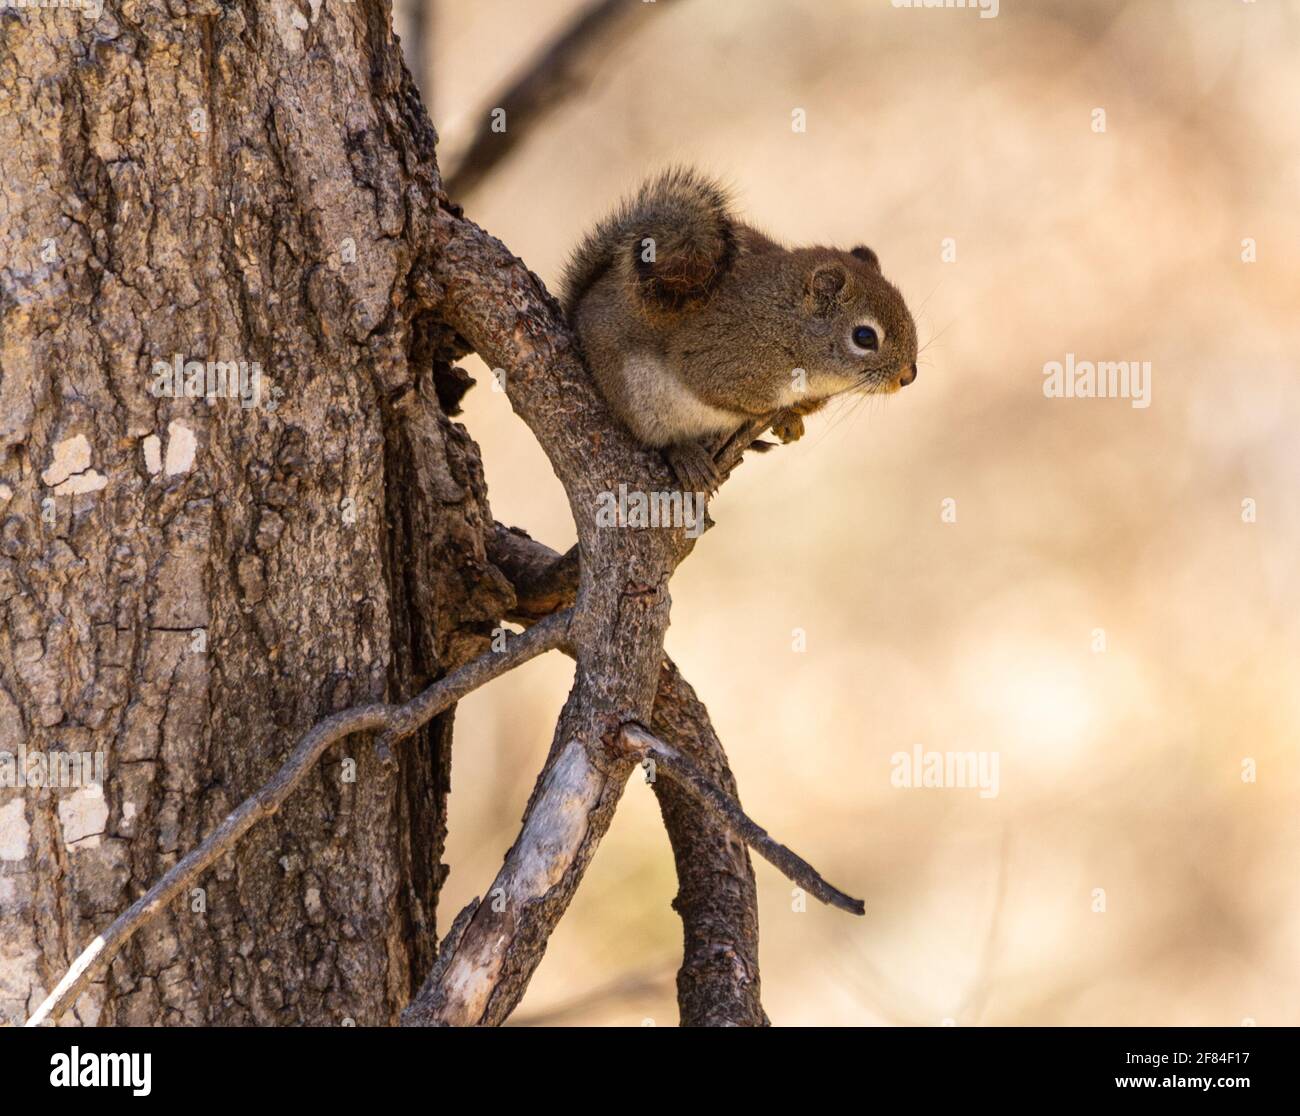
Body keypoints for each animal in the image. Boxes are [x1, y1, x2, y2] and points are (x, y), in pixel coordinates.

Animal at [561, 168, 919, 493]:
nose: (908, 376)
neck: (785, 322)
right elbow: (740, 397)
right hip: (638, 401)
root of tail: (579, 314)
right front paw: (785, 410)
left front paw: (796, 415)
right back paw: (687, 457)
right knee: (659, 440)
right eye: (864, 337)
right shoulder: (718, 358)